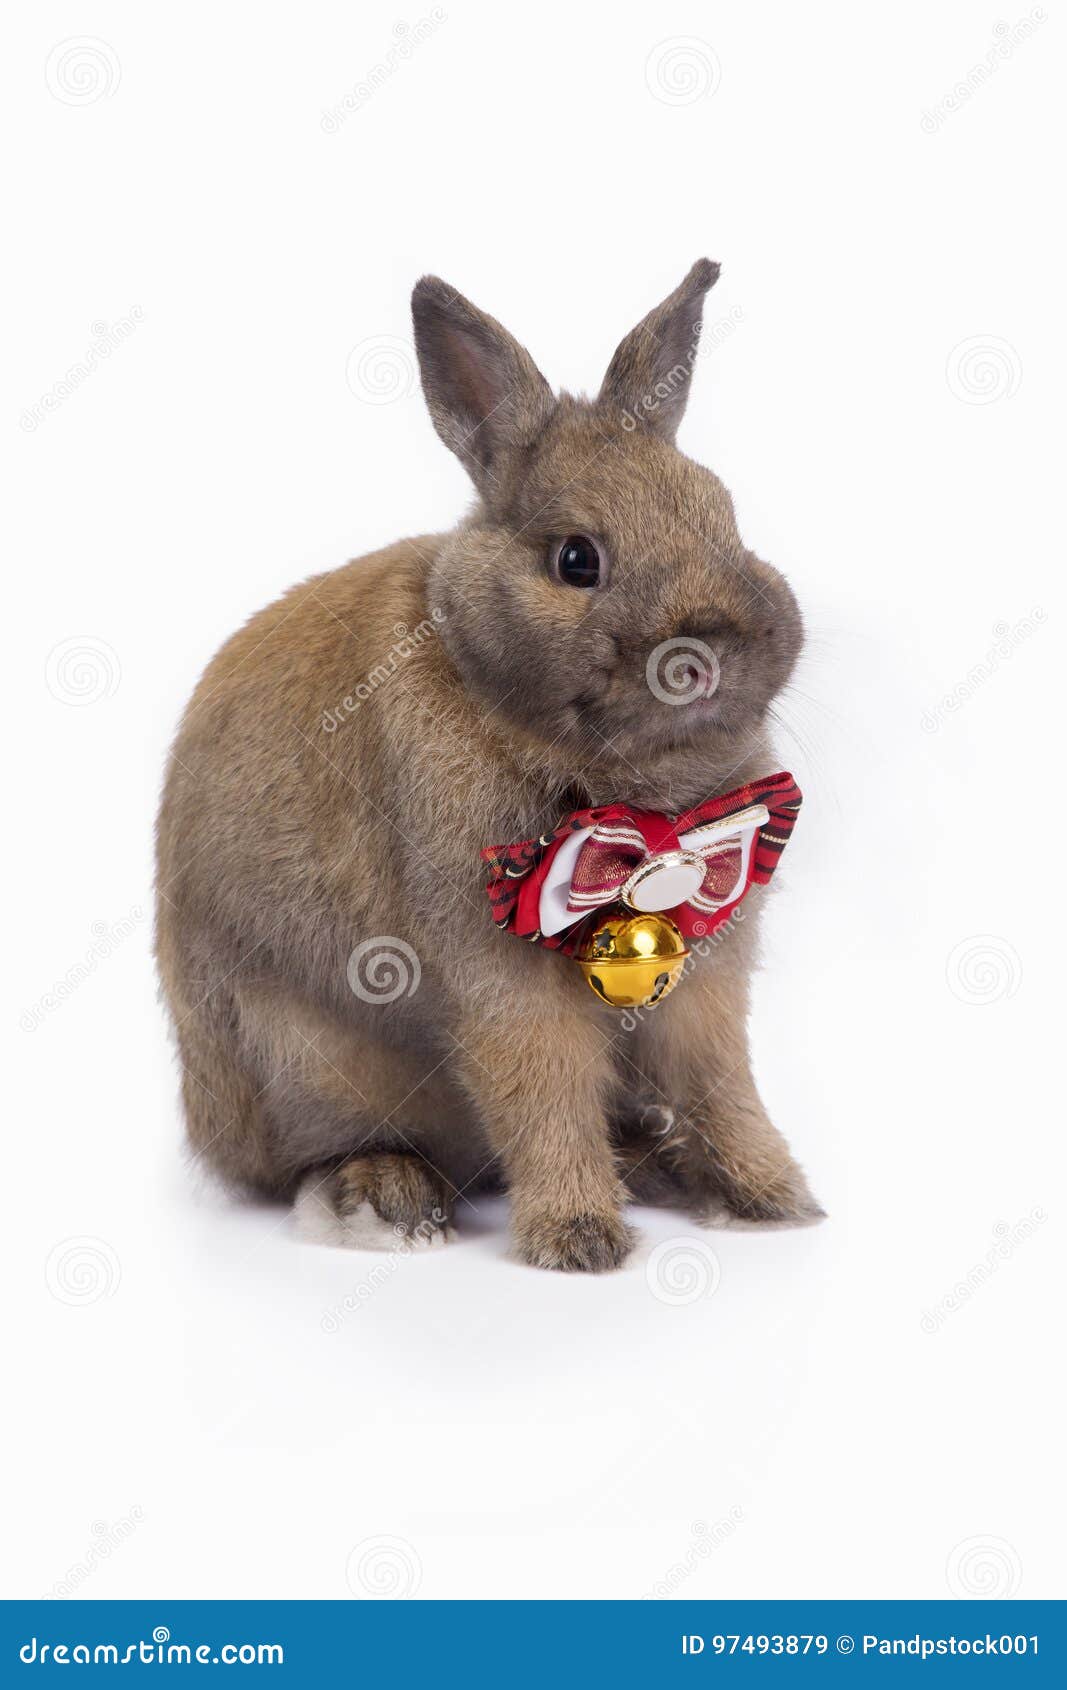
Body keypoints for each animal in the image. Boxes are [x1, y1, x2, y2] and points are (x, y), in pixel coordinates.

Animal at [155, 258, 823, 1272]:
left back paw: (660, 1163)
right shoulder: (495, 973)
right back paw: (387, 1199)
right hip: (302, 1066)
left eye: (724, 516)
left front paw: (773, 1200)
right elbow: (540, 1086)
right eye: (576, 559)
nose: (703, 649)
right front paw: (580, 1239)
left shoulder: (705, 973)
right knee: (317, 1162)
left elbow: (719, 1080)